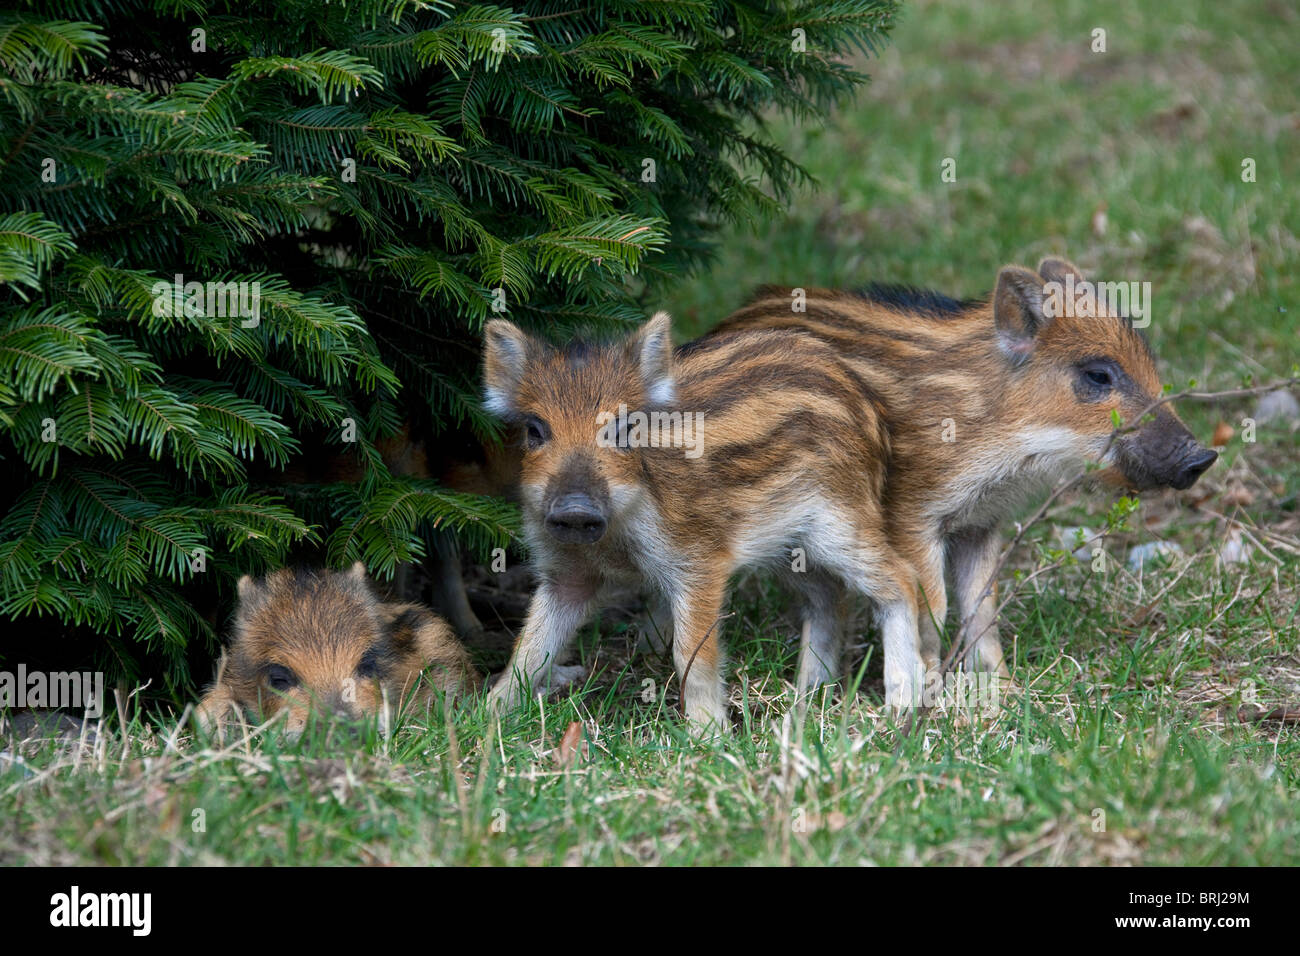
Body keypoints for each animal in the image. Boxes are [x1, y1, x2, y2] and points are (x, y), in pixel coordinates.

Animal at [481, 313, 927, 727]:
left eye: (624, 428)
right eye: (535, 430)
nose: (575, 509)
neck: (615, 536)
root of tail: (871, 408)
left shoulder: (697, 560)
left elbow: (690, 653)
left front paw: (709, 736)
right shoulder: (566, 574)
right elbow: (529, 646)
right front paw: (486, 715)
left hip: (840, 522)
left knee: (901, 580)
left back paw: (900, 705)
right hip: (786, 544)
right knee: (828, 598)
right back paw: (804, 700)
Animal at [713, 257, 1217, 677]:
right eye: (1097, 375)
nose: (1203, 458)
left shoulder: (981, 521)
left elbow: (981, 606)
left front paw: (999, 687)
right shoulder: (913, 515)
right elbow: (932, 609)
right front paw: (934, 691)